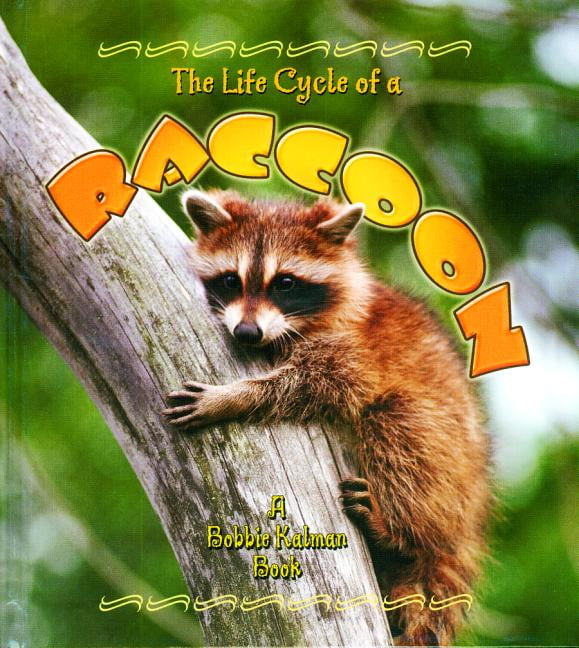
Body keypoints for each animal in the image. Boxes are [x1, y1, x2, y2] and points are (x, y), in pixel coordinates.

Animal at [164, 189, 491, 646]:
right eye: (231, 280)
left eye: (285, 283)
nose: (247, 333)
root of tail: (468, 523)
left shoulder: (356, 348)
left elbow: (320, 384)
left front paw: (234, 396)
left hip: (448, 463)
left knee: (398, 425)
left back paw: (398, 532)